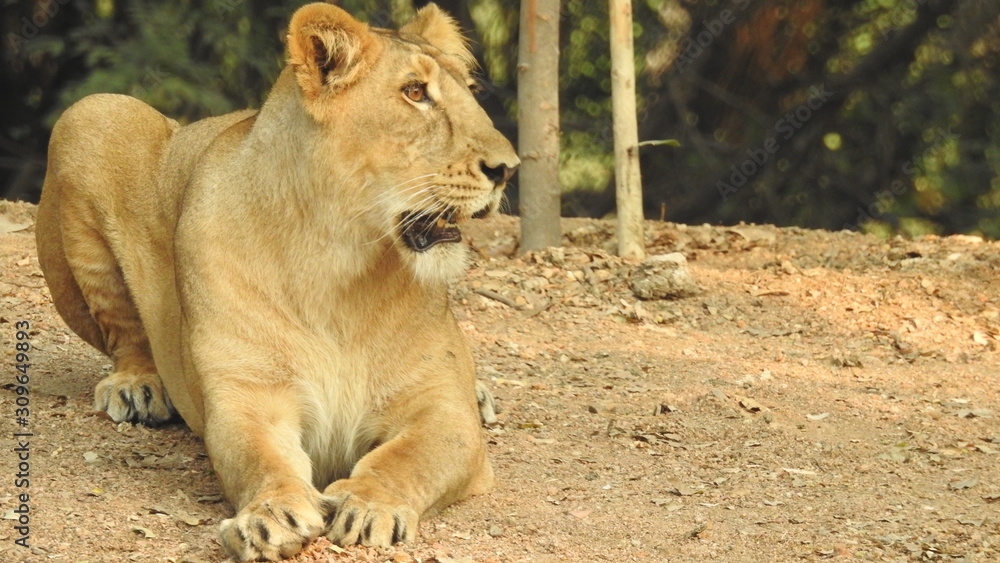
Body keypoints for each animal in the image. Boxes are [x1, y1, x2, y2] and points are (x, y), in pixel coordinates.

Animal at [34, 3, 518, 560]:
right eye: (415, 92)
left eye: (470, 91)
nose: (507, 169)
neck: (338, 265)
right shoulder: (249, 396)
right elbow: (260, 459)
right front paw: (271, 515)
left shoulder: (441, 411)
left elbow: (409, 458)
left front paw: (371, 505)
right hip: (91, 114)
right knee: (124, 331)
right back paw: (138, 386)